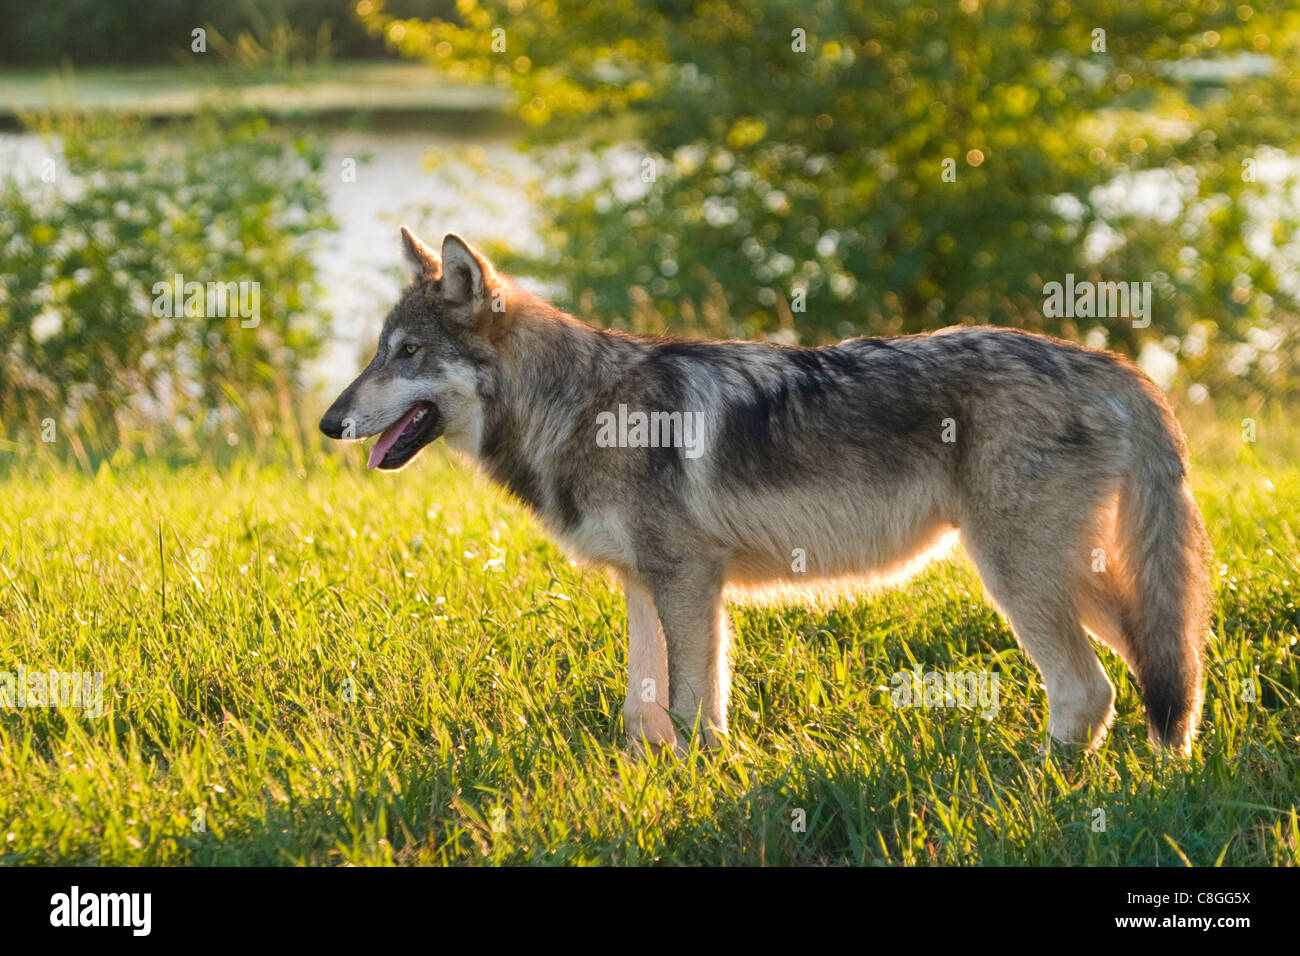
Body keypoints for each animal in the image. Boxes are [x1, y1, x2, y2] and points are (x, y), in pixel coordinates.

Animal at [320, 228, 1213, 756]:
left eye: (405, 354)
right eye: (377, 352)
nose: (329, 422)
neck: (577, 404)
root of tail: (1114, 366)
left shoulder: (689, 583)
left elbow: (689, 709)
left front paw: (696, 785)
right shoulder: (648, 587)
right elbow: (646, 712)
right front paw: (650, 783)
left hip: (1018, 577)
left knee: (1090, 689)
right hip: (1067, 578)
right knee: (1163, 661)